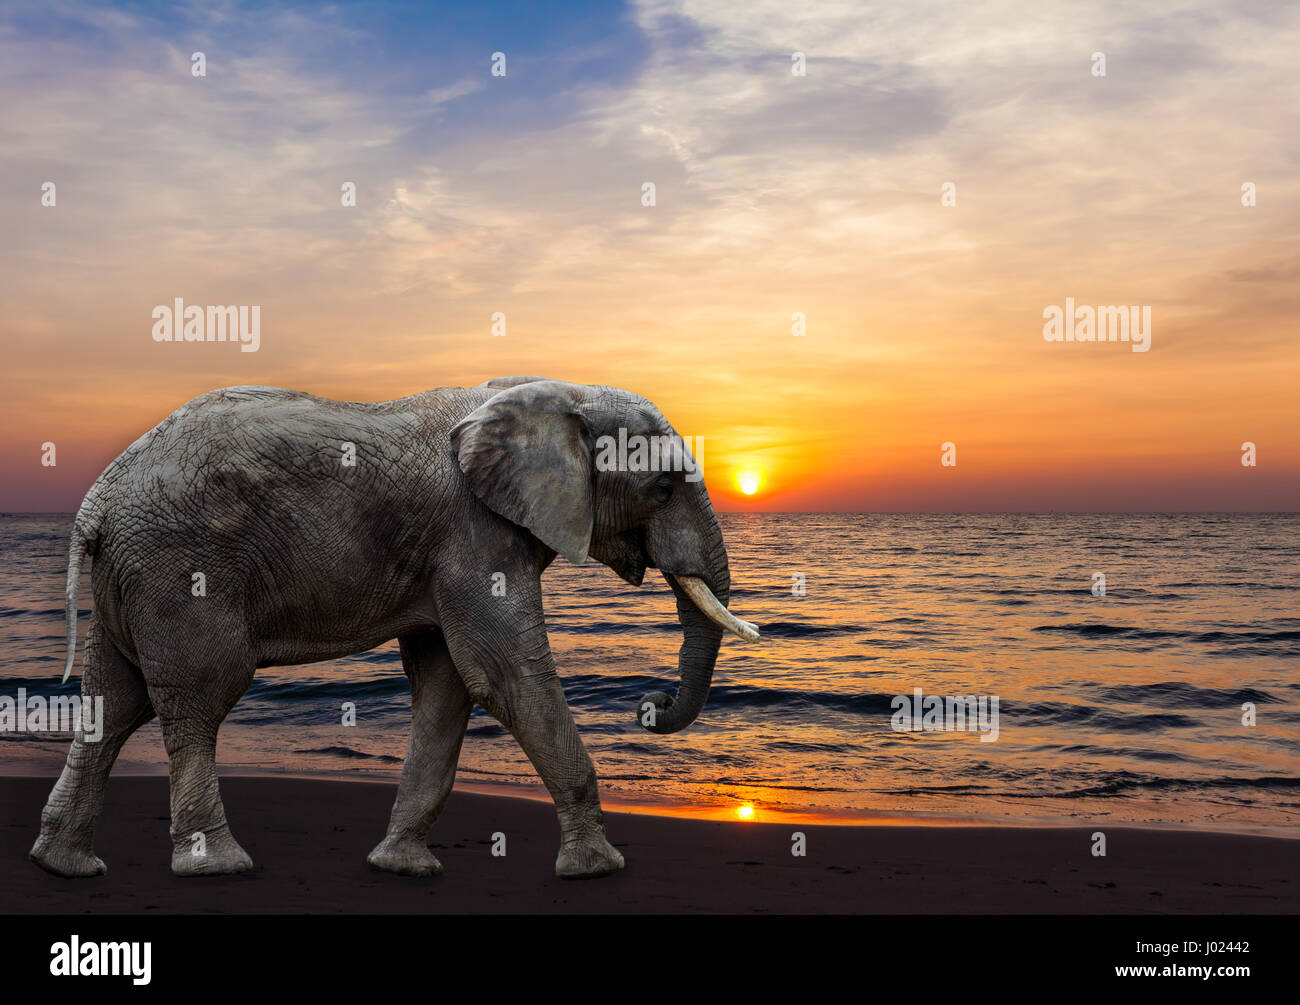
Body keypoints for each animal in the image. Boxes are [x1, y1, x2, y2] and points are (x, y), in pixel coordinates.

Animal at [30, 376, 760, 881]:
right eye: (662, 488)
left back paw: (63, 865)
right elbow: (503, 671)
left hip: (131, 576)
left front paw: (402, 867)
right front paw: (598, 869)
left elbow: (446, 682)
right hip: (179, 569)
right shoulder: (474, 533)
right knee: (199, 696)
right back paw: (220, 867)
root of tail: (98, 498)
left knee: (113, 702)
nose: (649, 705)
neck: (557, 390)